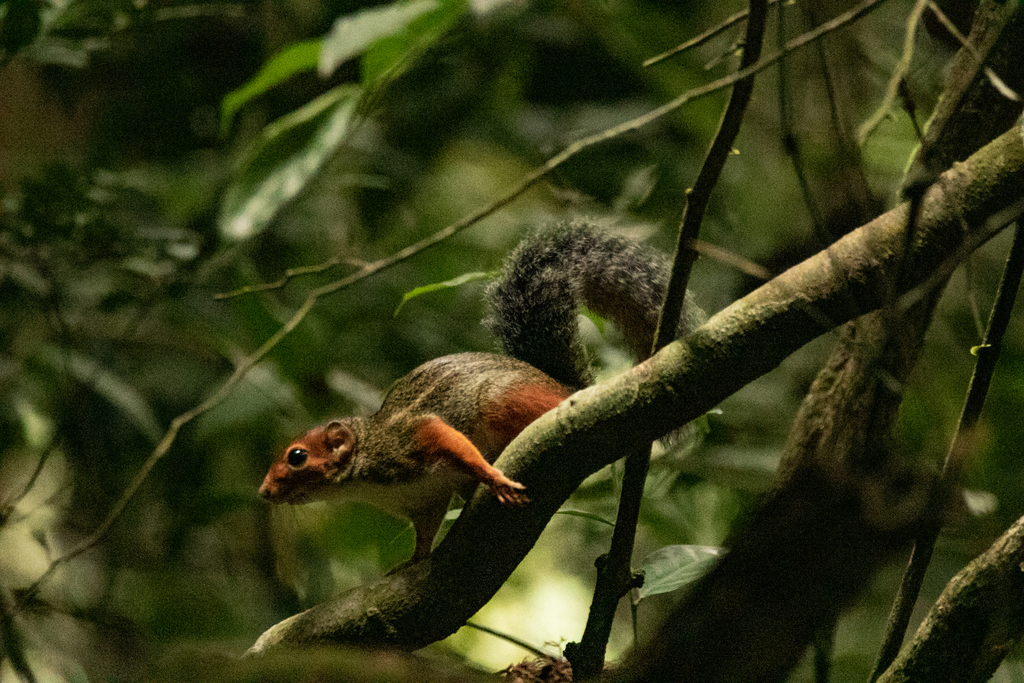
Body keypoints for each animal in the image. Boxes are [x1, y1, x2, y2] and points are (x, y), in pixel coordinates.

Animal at [258, 221, 705, 561]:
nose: (263, 492)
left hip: (503, 400)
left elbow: (449, 440)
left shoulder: (408, 441)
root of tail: (568, 387)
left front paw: (493, 478)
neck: (362, 476)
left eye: (296, 457)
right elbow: (425, 531)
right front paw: (413, 562)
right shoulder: (425, 501)